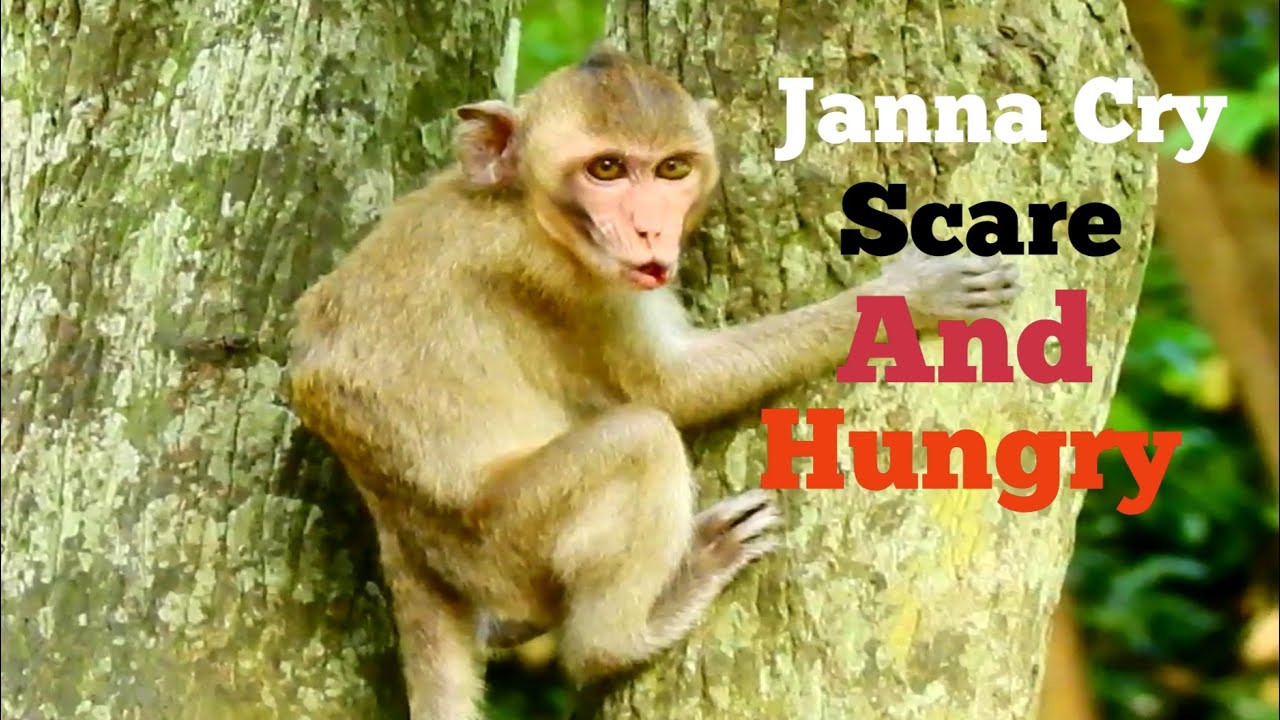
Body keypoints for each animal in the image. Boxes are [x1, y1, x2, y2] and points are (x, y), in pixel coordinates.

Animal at [284, 43, 1023, 720]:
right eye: (606, 168)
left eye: (672, 168)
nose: (648, 229)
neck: (515, 203)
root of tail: (407, 545)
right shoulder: (572, 283)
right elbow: (671, 389)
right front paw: (913, 296)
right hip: (504, 544)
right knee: (640, 441)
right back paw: (634, 627)